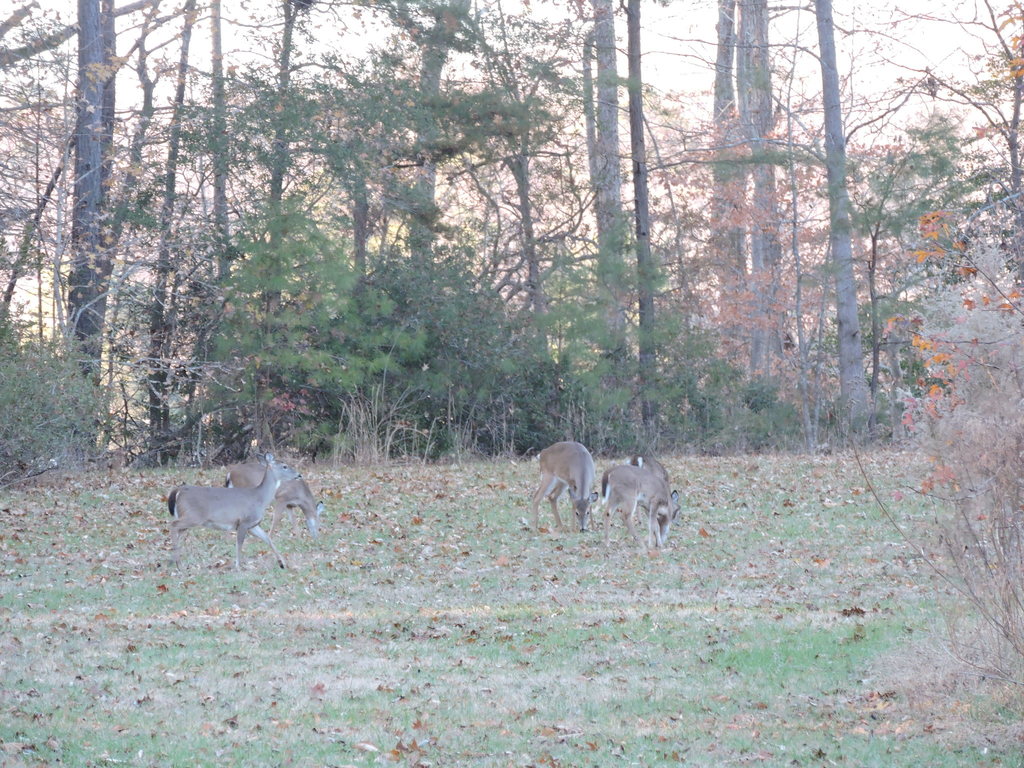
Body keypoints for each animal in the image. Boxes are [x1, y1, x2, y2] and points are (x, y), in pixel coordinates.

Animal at [167, 453, 301, 570]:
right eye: (284, 466)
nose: (299, 475)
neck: (260, 498)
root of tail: (178, 491)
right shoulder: (243, 522)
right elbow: (239, 543)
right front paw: (238, 566)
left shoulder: (253, 525)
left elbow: (267, 538)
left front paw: (282, 563)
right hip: (193, 516)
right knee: (173, 525)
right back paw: (177, 564)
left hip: (188, 517)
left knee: (179, 531)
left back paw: (177, 563)